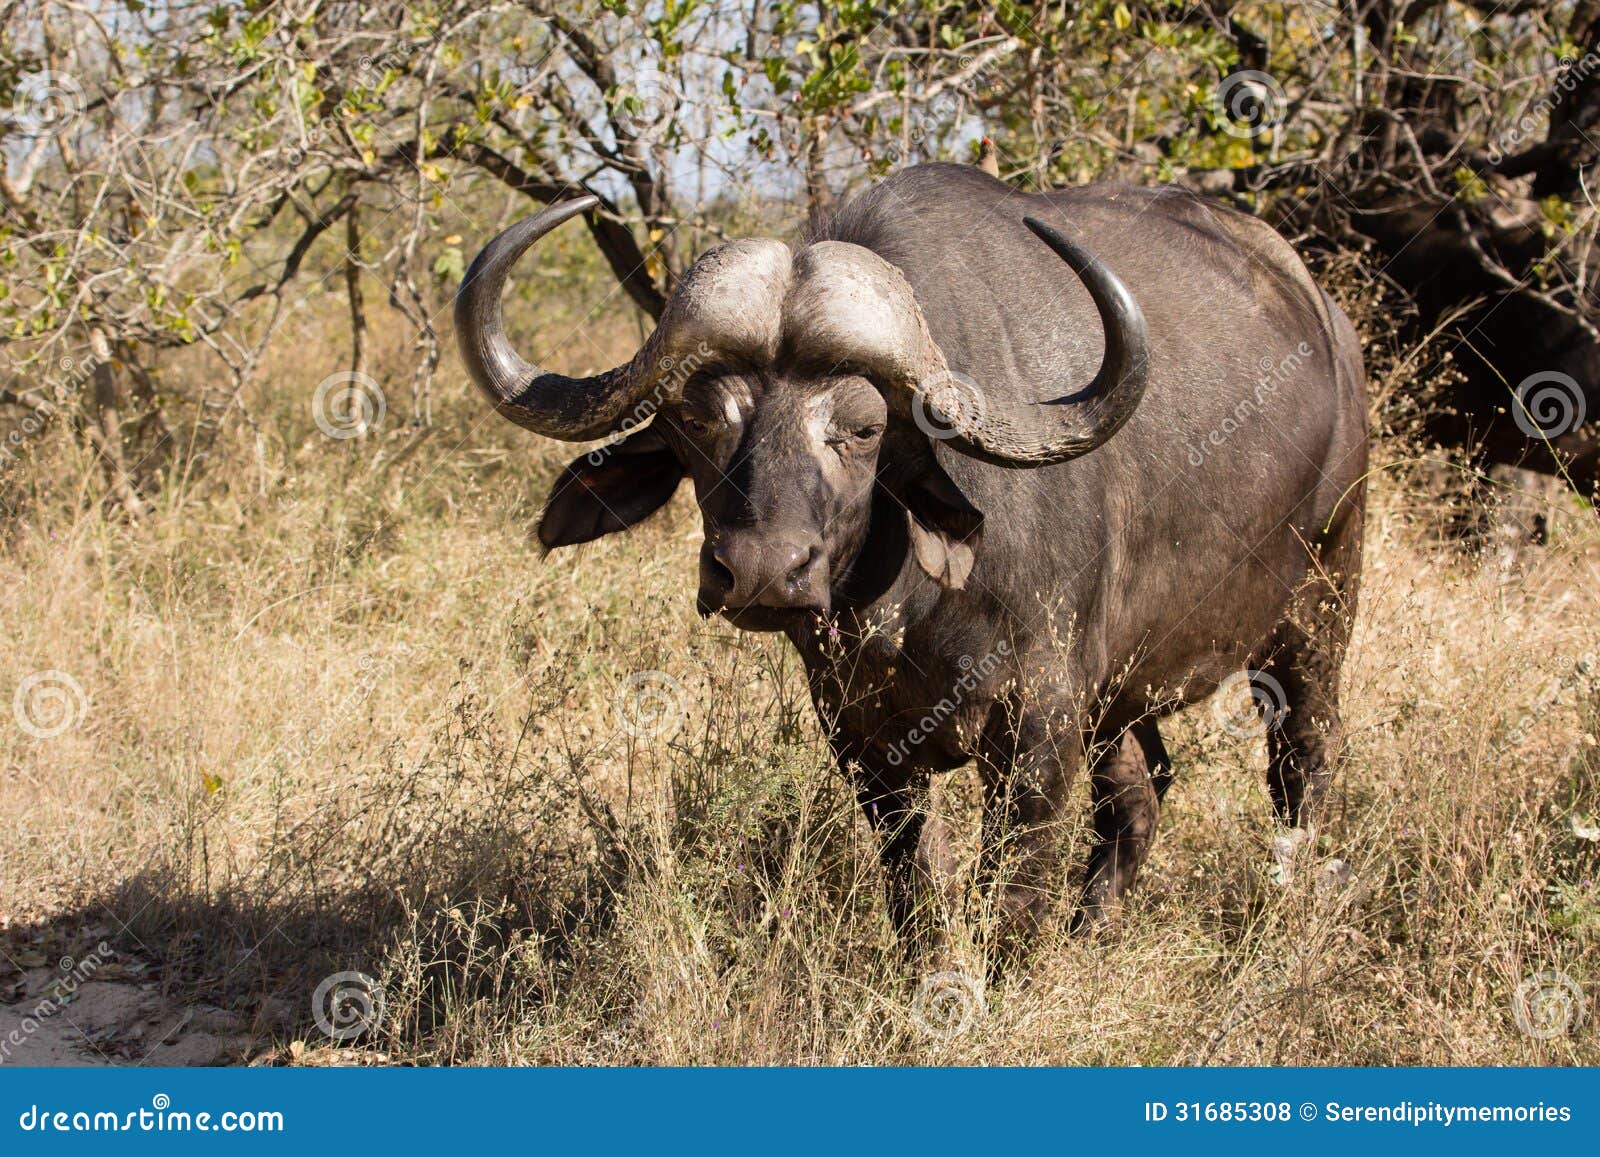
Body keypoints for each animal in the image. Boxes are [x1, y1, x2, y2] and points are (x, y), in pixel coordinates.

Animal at [455, 163, 1368, 964]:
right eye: (699, 421)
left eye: (863, 428)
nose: (761, 571)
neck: (906, 607)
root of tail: (1326, 318)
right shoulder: (865, 740)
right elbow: (916, 887)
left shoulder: (1038, 727)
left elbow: (1011, 897)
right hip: (1121, 691)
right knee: (1141, 797)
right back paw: (1093, 933)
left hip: (1320, 605)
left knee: (1302, 765)